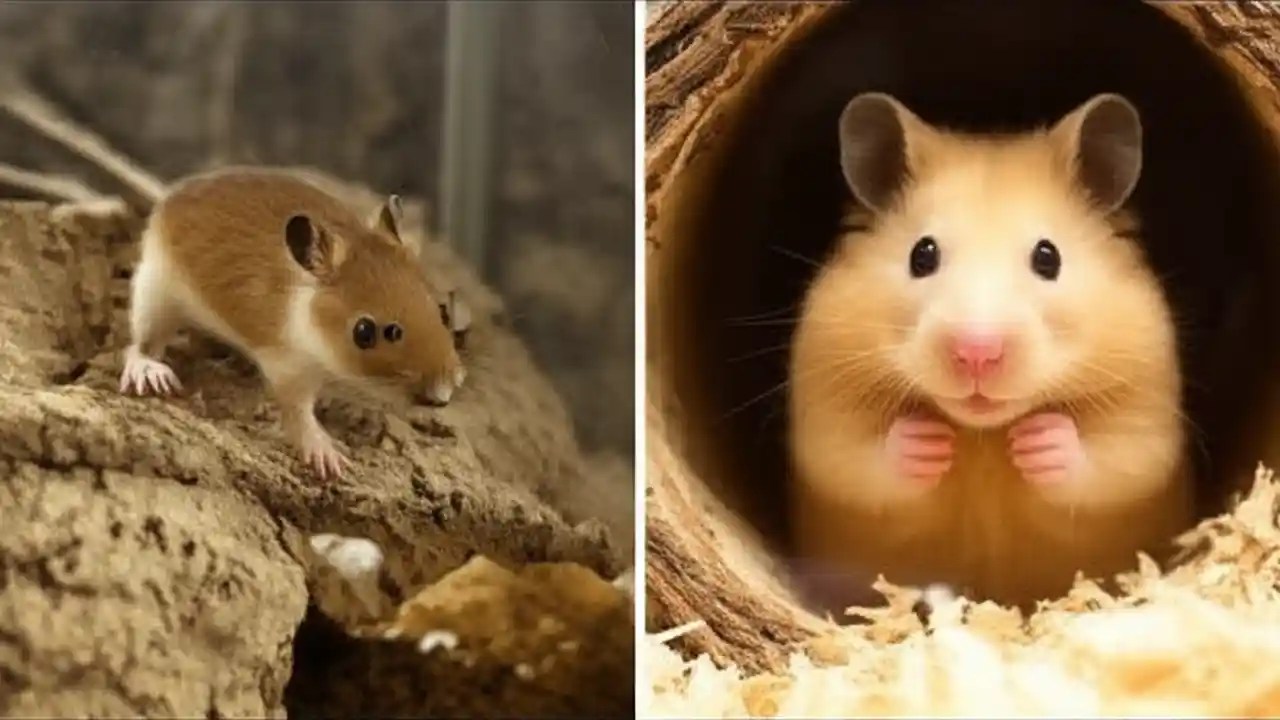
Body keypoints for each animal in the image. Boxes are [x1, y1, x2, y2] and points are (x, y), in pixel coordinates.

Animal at [118, 166, 466, 479]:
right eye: (364, 332)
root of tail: (171, 196)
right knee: (139, 346)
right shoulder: (288, 369)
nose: (442, 398)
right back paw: (151, 373)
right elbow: (300, 417)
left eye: (442, 311)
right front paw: (330, 459)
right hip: (155, 293)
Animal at [787, 93, 1195, 610]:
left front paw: (1036, 438)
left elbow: (1114, 462)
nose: (977, 352)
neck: (983, 435)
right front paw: (929, 439)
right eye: (922, 254)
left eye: (1048, 257)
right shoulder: (825, 397)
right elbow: (854, 458)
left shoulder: (1146, 406)